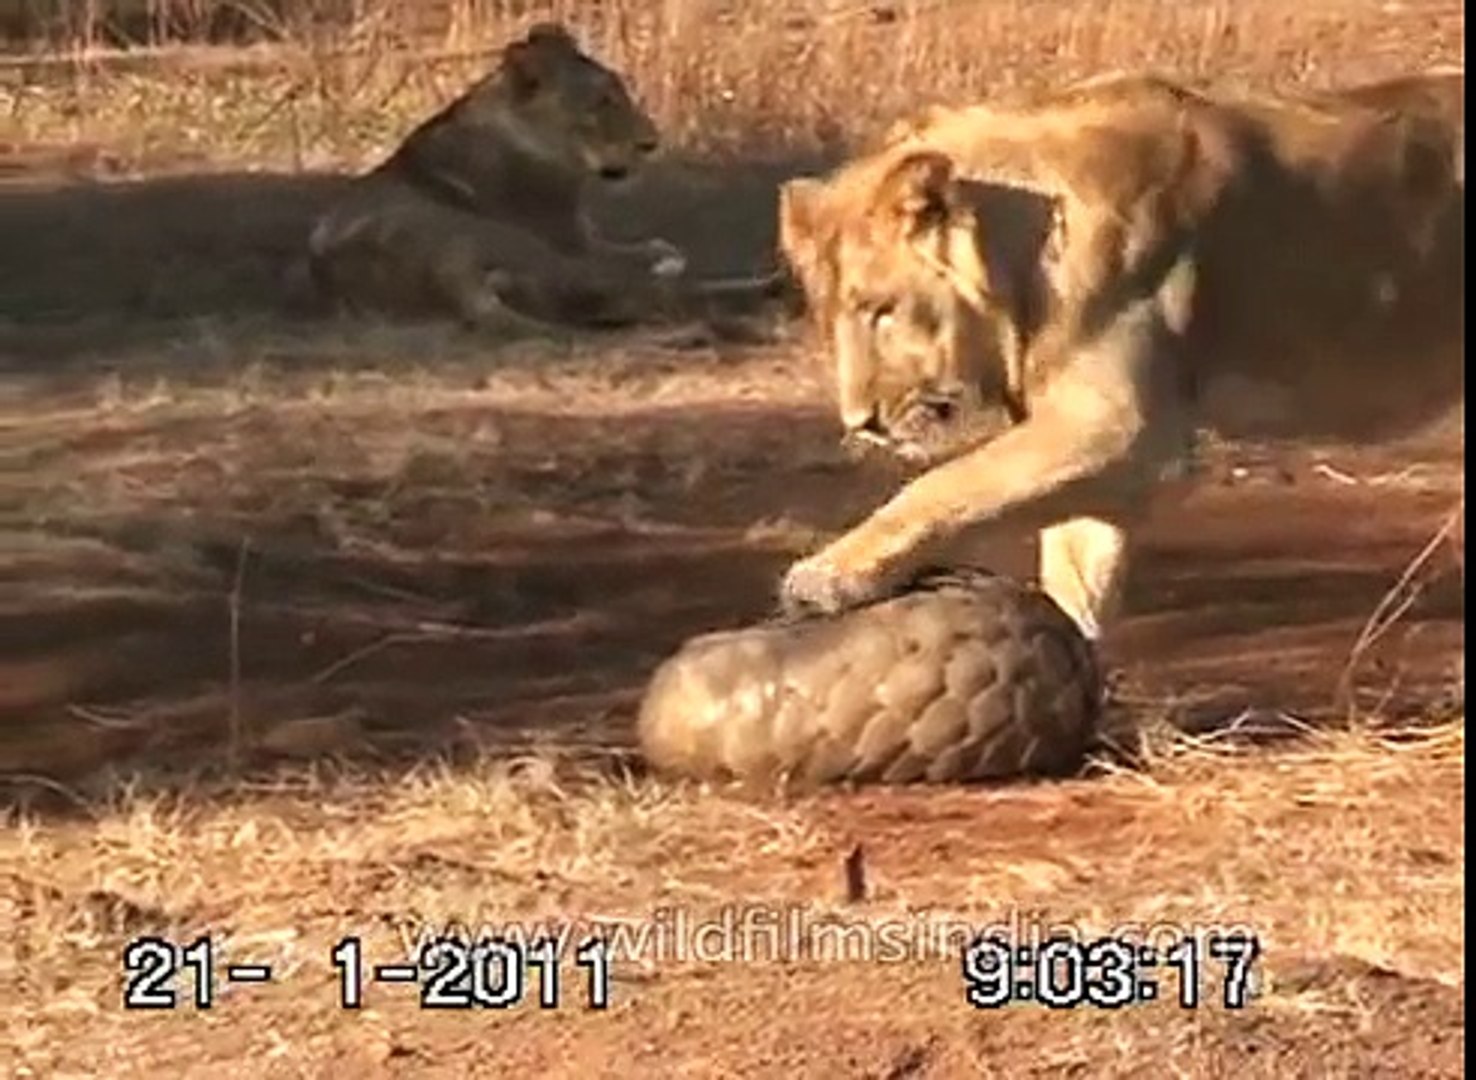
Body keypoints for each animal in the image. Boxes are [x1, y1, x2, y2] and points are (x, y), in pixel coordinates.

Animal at [306, 23, 774, 333]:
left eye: (619, 94)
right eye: (600, 103)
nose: (651, 143)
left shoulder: (584, 235)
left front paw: (661, 252)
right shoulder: (572, 239)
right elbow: (642, 252)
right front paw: (666, 256)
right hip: (532, 250)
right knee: (640, 292)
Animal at [773, 71, 1464, 643]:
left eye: (880, 310)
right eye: (832, 321)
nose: (861, 422)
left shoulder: (1121, 426)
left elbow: (945, 483)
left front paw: (826, 575)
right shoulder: (1096, 451)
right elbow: (1075, 574)